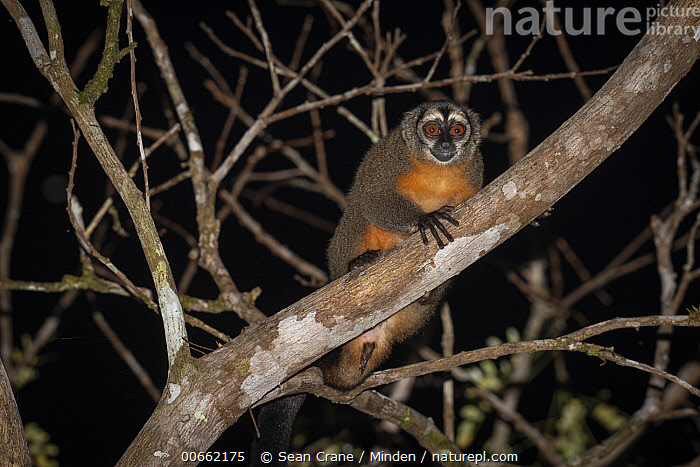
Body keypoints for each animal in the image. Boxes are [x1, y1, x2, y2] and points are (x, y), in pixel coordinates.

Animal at [250, 101, 483, 465]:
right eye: (432, 130)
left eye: (457, 130)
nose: (446, 144)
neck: (438, 169)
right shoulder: (390, 155)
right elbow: (371, 196)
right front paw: (424, 219)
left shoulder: (476, 174)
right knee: (358, 210)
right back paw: (357, 264)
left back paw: (427, 295)